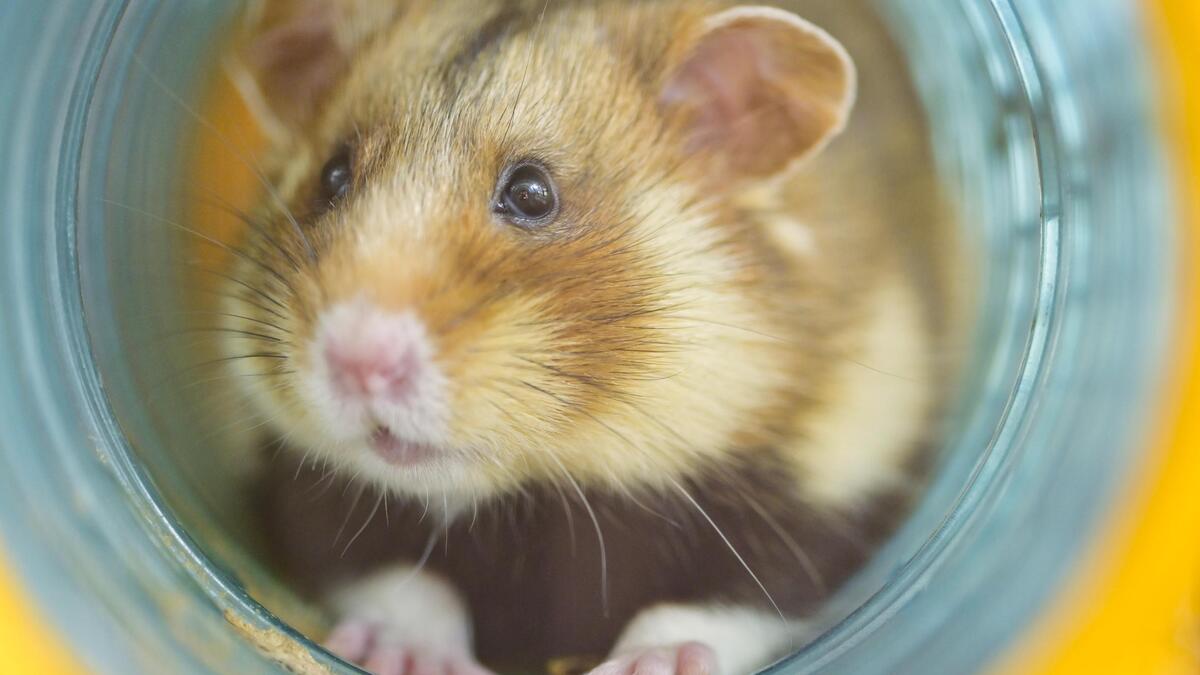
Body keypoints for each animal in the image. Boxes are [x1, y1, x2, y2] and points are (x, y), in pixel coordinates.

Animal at [219, 0, 956, 673]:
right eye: (333, 176)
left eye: (532, 192)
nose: (356, 361)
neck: (539, 489)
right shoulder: (306, 496)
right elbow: (393, 572)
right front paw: (402, 655)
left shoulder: (832, 481)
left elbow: (724, 598)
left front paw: (651, 665)